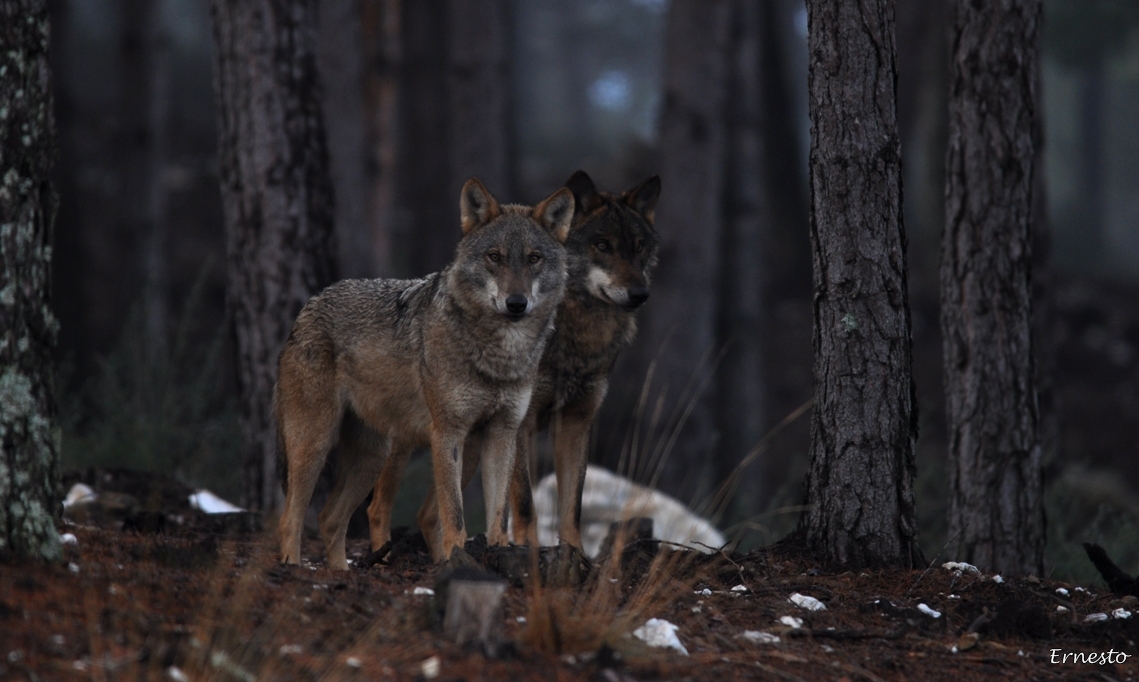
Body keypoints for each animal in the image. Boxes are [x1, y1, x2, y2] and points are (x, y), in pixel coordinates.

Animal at [276, 178, 574, 568]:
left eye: (534, 258)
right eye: (494, 257)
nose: (516, 303)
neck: (499, 355)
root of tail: (307, 308)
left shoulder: (503, 433)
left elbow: (498, 513)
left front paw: (497, 551)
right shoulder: (447, 433)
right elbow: (454, 515)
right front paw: (457, 558)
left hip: (376, 456)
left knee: (329, 518)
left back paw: (339, 572)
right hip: (316, 444)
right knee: (290, 518)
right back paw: (292, 567)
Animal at [367, 170, 660, 557]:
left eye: (639, 247)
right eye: (602, 245)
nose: (640, 294)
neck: (574, 336)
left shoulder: (576, 422)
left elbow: (572, 506)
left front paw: (575, 556)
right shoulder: (523, 424)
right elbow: (523, 504)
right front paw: (530, 552)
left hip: (470, 447)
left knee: (427, 513)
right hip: (414, 440)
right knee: (379, 507)